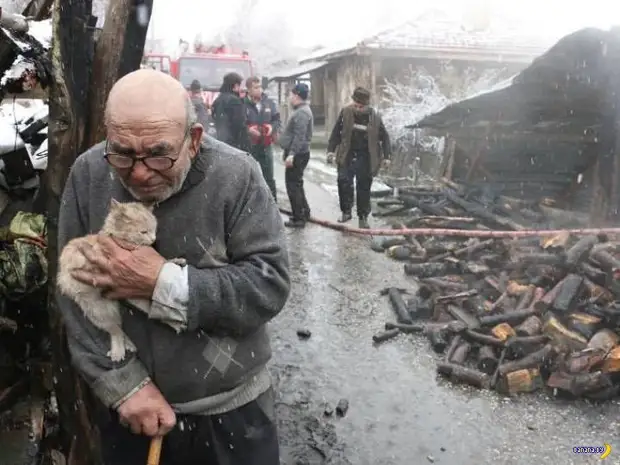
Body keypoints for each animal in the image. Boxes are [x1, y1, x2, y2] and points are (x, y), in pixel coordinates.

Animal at [57, 199, 165, 362]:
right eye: (143, 232)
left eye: (154, 230)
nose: (153, 239)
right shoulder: (77, 255)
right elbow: (84, 256)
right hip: (97, 311)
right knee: (115, 330)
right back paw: (118, 351)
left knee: (128, 318)